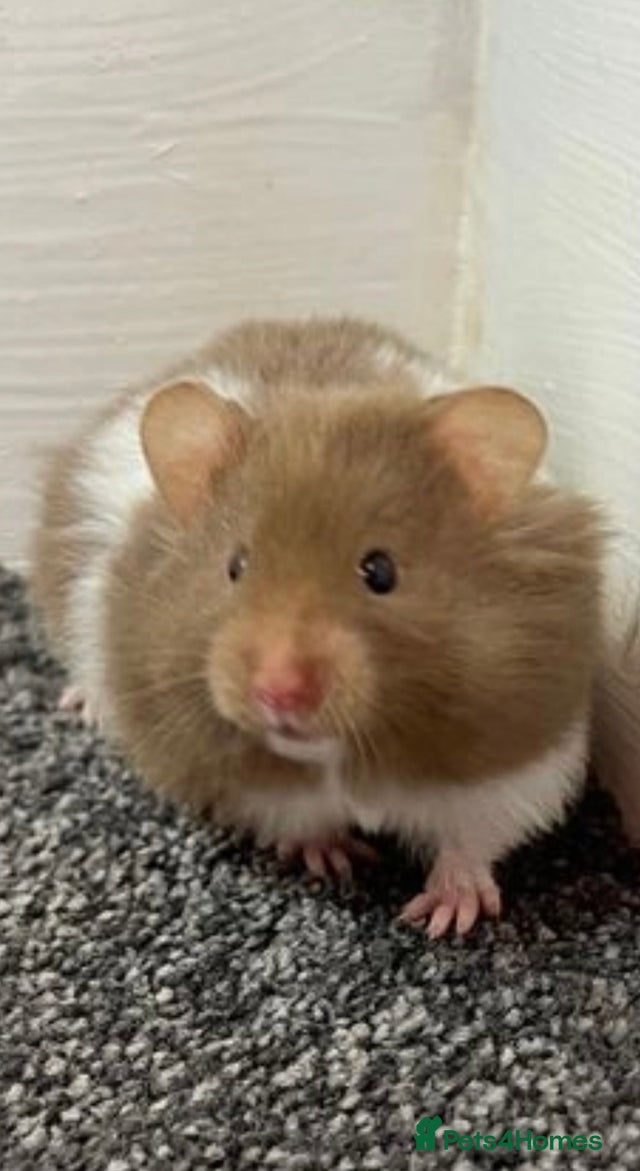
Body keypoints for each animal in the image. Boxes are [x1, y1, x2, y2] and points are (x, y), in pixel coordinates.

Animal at [31, 317, 603, 938]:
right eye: (235, 565)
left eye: (381, 571)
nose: (278, 692)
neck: (339, 752)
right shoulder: (244, 783)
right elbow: (299, 820)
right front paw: (336, 863)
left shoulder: (515, 763)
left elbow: (470, 840)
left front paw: (444, 919)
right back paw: (83, 705)